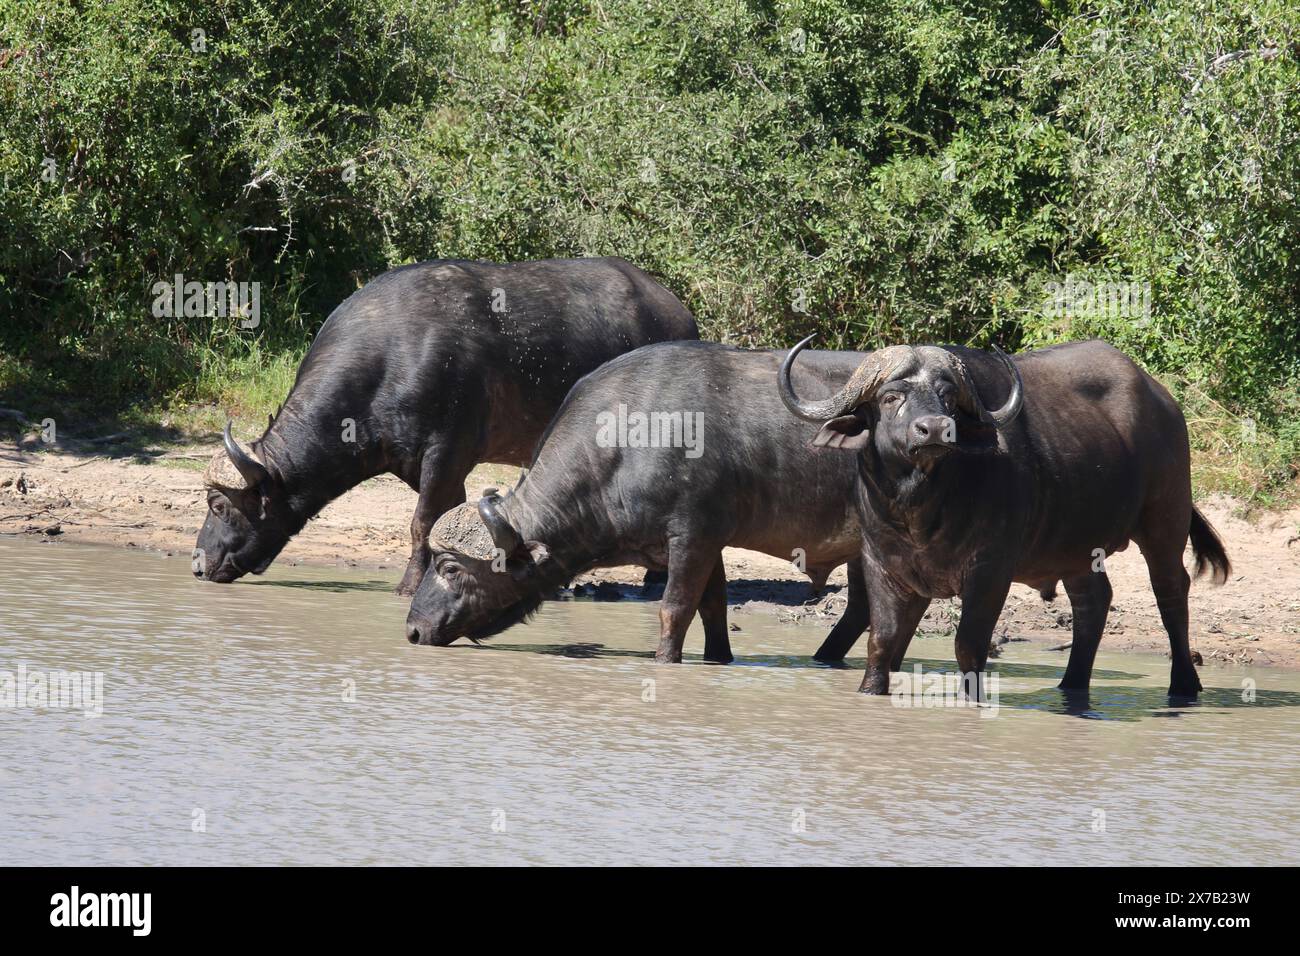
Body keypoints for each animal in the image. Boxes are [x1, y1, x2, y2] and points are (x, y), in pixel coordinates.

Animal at [195, 257, 697, 594]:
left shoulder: (446, 453)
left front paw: (408, 586)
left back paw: (656, 578)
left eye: (218, 505)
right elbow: (441, 518)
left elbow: (421, 522)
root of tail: (679, 313)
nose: (198, 566)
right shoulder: (423, 466)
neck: (388, 359)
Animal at [404, 341, 869, 663]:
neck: (627, 439)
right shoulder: (707, 545)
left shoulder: (692, 537)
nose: (412, 631)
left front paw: (665, 660)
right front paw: (718, 659)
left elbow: (675, 609)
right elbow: (713, 608)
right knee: (860, 612)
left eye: (449, 567)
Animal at [777, 336, 1230, 699]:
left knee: (1172, 592)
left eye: (947, 397)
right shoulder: (882, 564)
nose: (934, 429)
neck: (920, 509)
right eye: (891, 397)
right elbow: (883, 640)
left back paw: (1184, 686)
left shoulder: (991, 570)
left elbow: (969, 644)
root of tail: (1164, 402)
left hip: (1165, 521)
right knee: (1093, 601)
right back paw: (1071, 686)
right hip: (1079, 550)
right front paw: (870, 691)